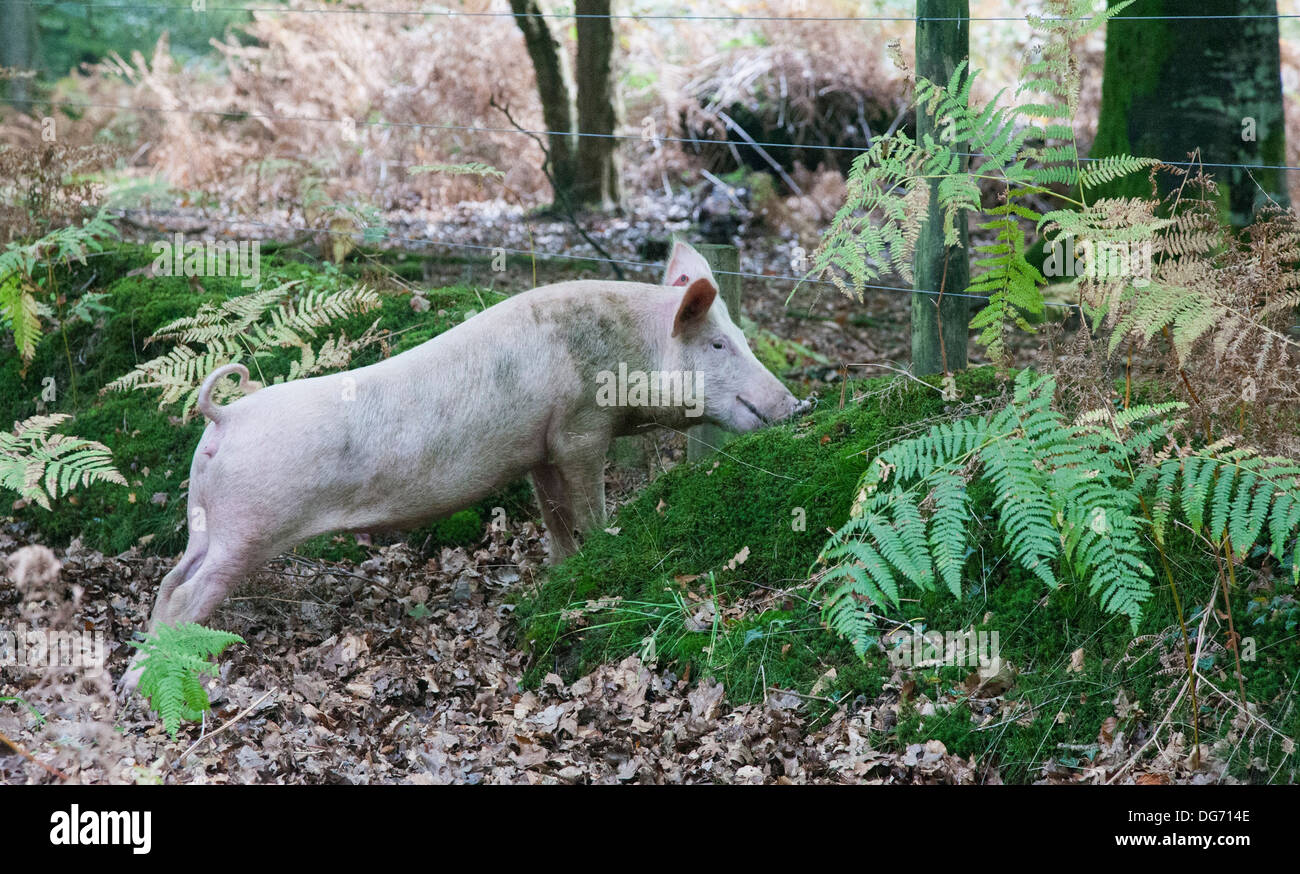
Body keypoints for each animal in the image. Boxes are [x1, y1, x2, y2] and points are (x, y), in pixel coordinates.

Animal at [133, 240, 806, 659]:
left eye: (742, 338)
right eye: (718, 345)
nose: (797, 405)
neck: (626, 351)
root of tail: (224, 416)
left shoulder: (540, 449)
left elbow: (556, 520)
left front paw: (563, 573)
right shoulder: (580, 430)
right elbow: (588, 507)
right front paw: (606, 553)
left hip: (207, 522)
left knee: (168, 582)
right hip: (247, 530)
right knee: (188, 594)